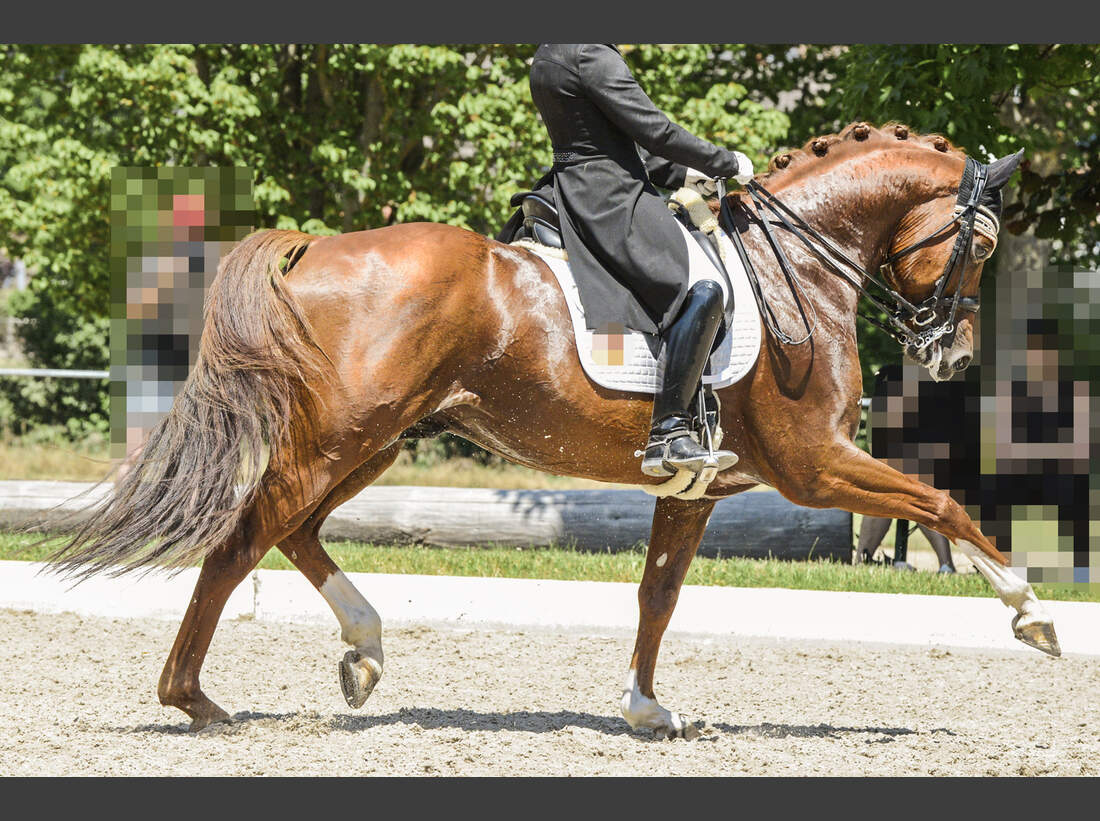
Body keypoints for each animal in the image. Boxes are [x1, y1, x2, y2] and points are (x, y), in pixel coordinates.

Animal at [47, 121, 1059, 737]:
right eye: (980, 245)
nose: (951, 355)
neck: (795, 269)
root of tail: (317, 247)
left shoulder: (700, 486)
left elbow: (658, 594)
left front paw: (647, 709)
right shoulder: (815, 464)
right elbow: (943, 502)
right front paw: (1032, 613)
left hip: (372, 441)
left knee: (291, 529)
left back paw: (364, 654)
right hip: (344, 436)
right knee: (241, 539)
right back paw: (195, 698)